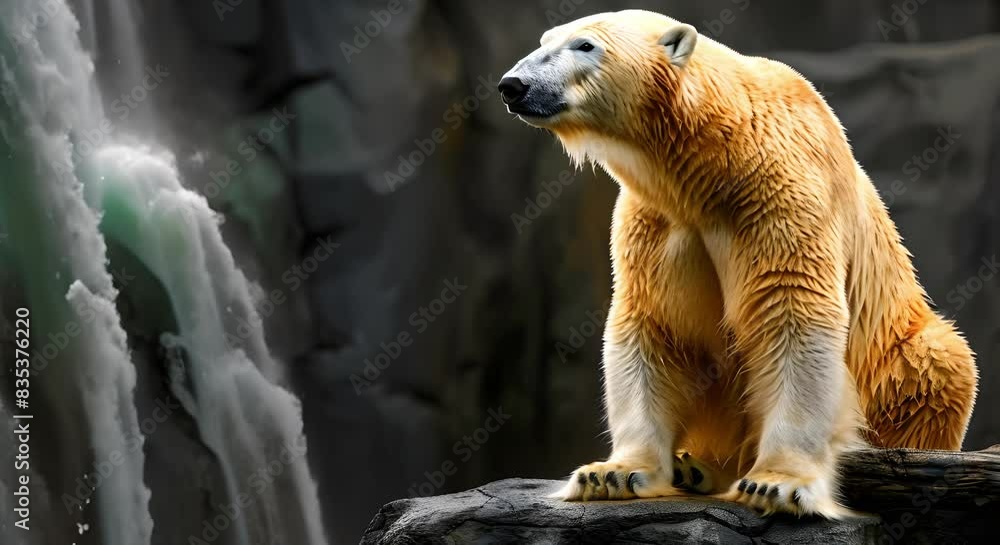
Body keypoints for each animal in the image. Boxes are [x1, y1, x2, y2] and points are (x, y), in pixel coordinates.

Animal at [499, 10, 978, 518]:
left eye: (585, 45)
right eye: (545, 40)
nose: (513, 85)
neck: (719, 161)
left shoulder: (782, 194)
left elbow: (793, 312)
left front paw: (777, 484)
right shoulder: (656, 221)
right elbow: (652, 326)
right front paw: (611, 474)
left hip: (896, 357)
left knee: (939, 359)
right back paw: (696, 468)